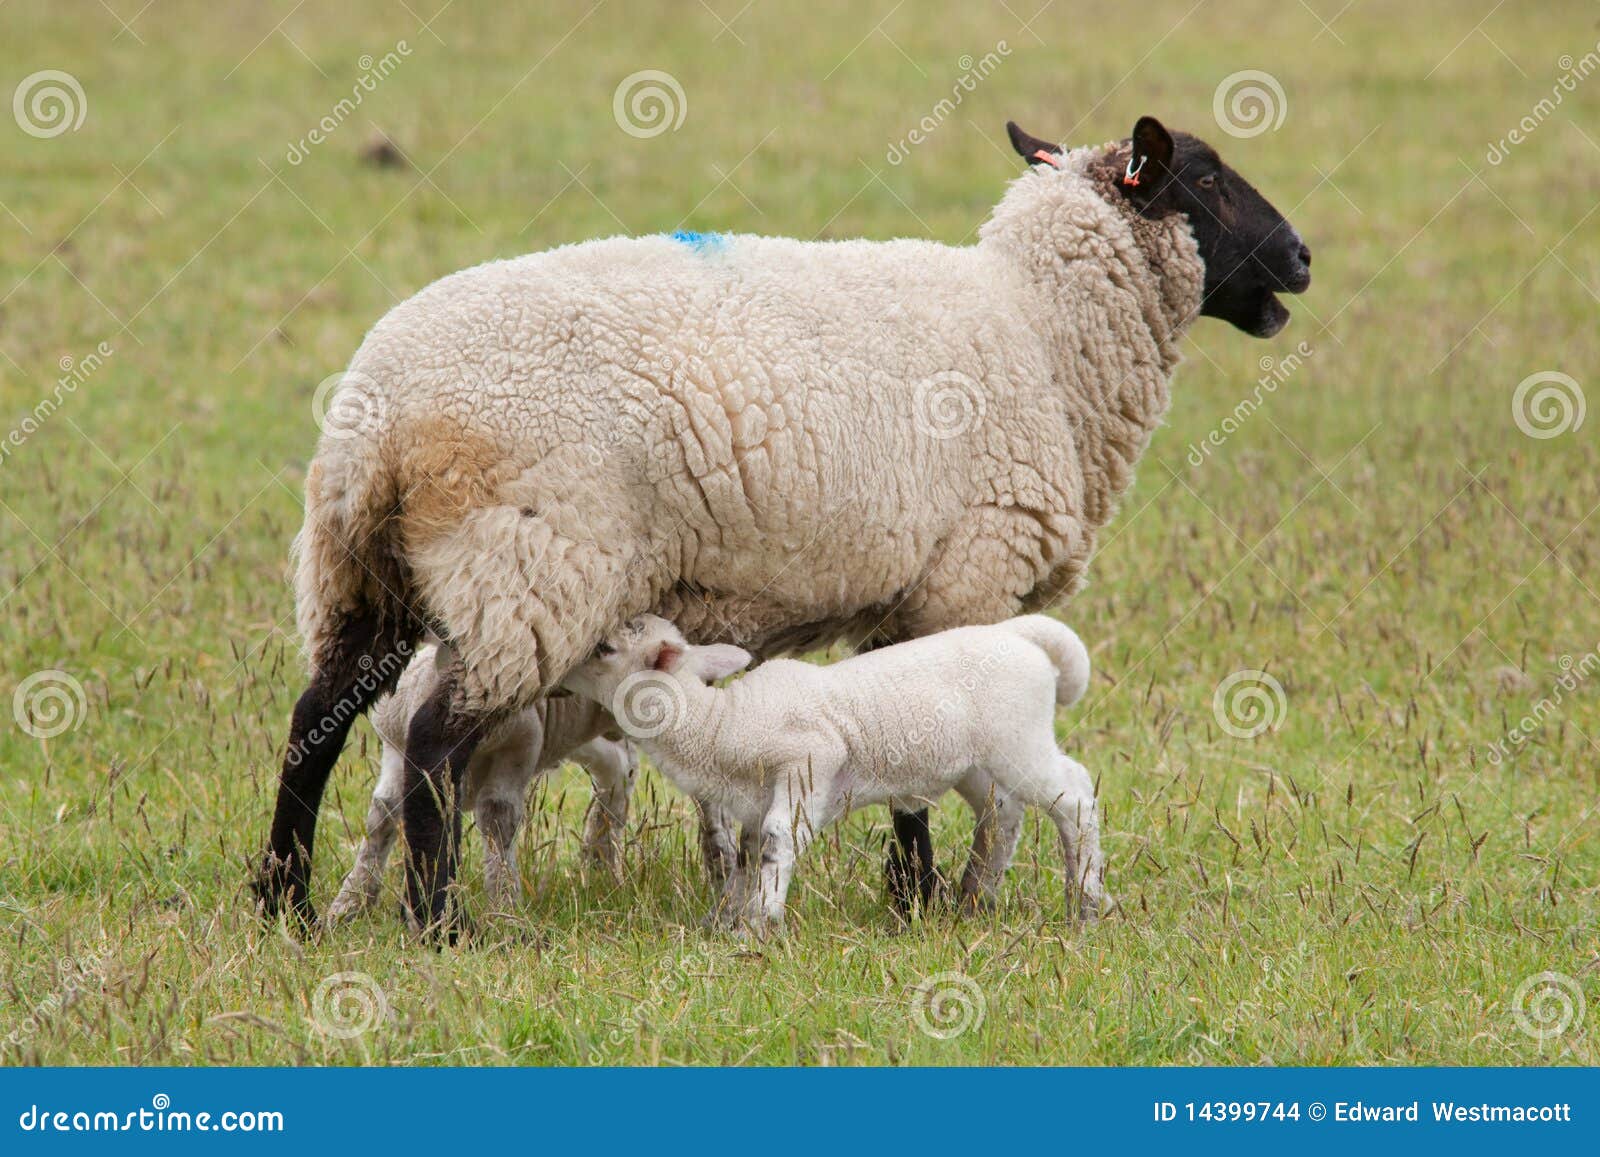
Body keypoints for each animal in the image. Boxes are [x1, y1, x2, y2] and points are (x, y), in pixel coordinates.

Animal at [323, 644, 741, 924]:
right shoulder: (396, 752)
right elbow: (382, 817)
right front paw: (350, 903)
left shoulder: (518, 752)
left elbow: (498, 822)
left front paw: (506, 910)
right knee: (617, 767)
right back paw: (600, 858)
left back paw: (721, 862)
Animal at [561, 613, 1105, 934]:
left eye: (605, 649)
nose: (559, 674)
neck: (720, 722)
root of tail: (1021, 634)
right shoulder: (757, 798)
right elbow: (748, 854)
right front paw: (728, 918)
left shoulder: (810, 758)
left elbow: (780, 837)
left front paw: (761, 922)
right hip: (972, 759)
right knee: (1002, 813)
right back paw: (974, 899)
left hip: (1019, 738)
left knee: (1074, 795)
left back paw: (1086, 906)